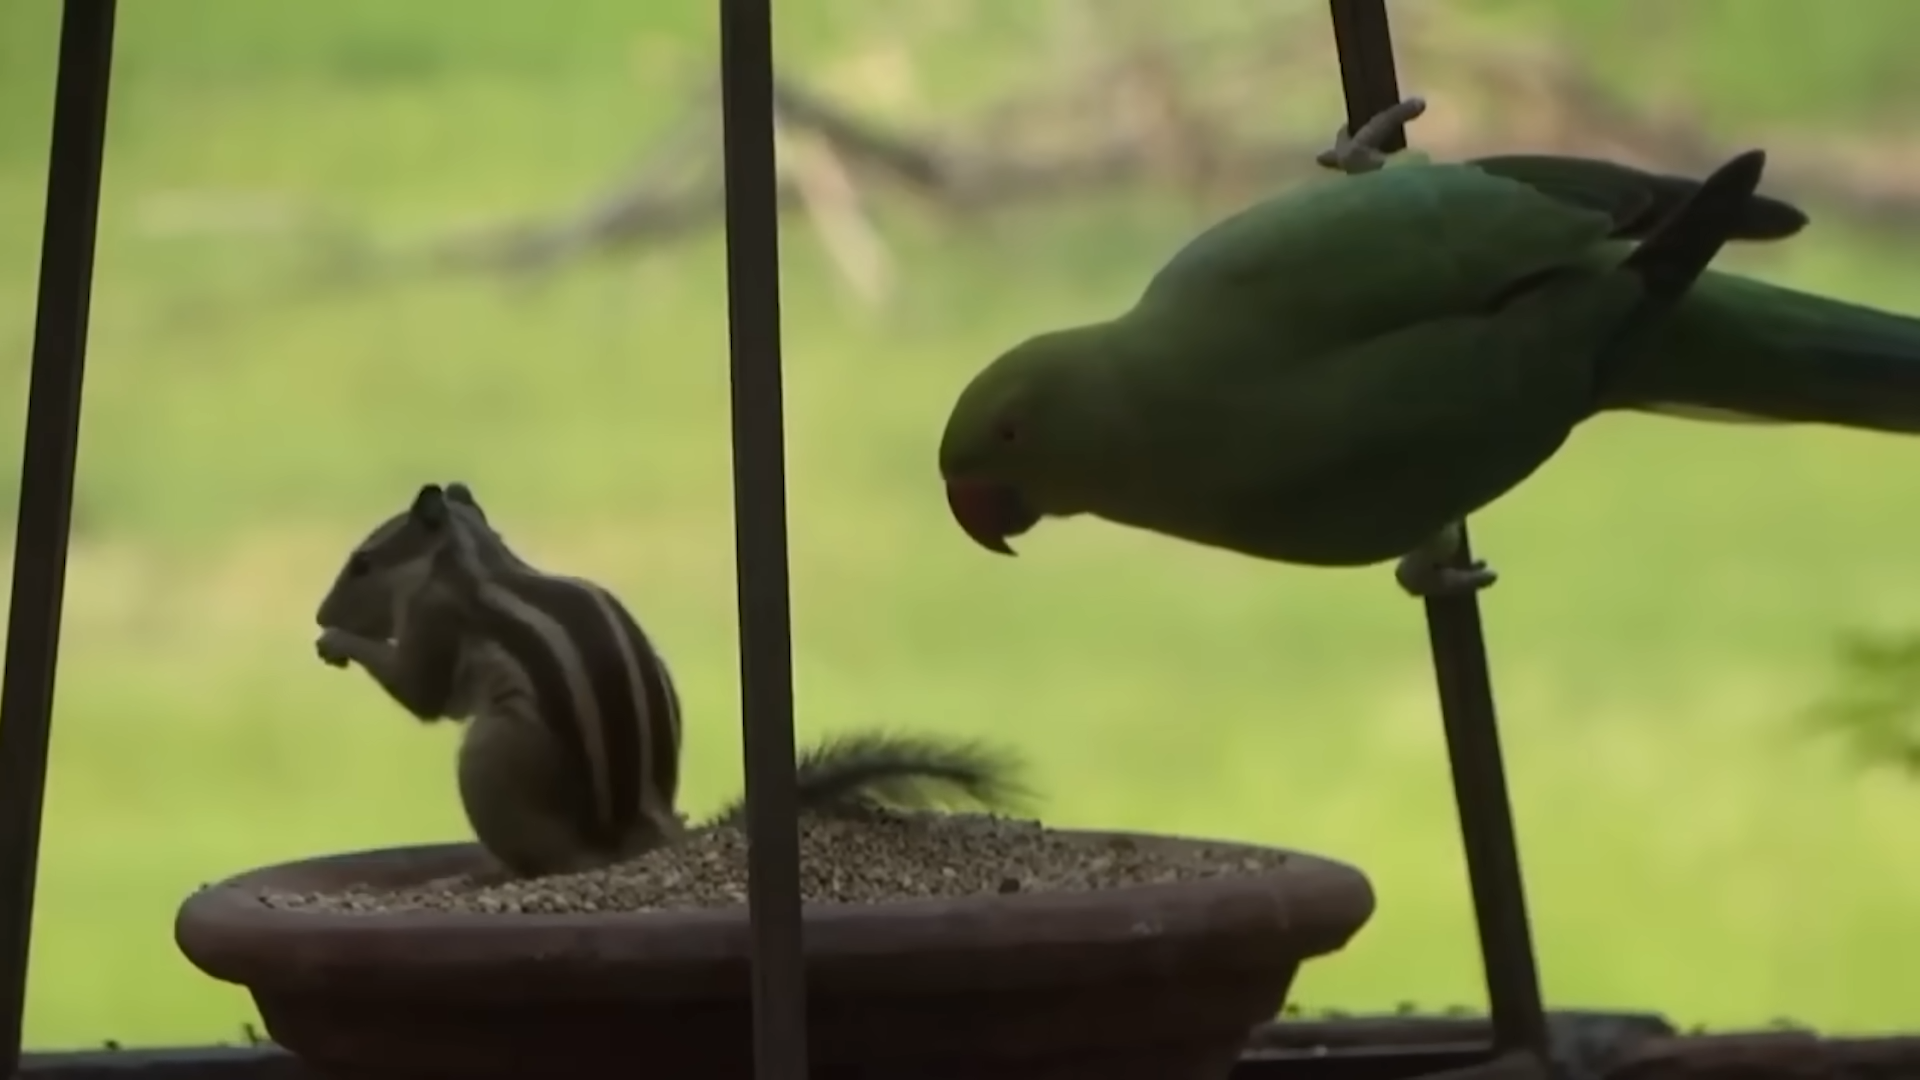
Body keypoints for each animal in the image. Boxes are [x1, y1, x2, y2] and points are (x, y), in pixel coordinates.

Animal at [314, 482, 1030, 880]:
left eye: (361, 563)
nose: (320, 613)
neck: (469, 557)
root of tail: (643, 828)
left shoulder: (437, 620)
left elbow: (420, 694)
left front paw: (336, 644)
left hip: (490, 759)